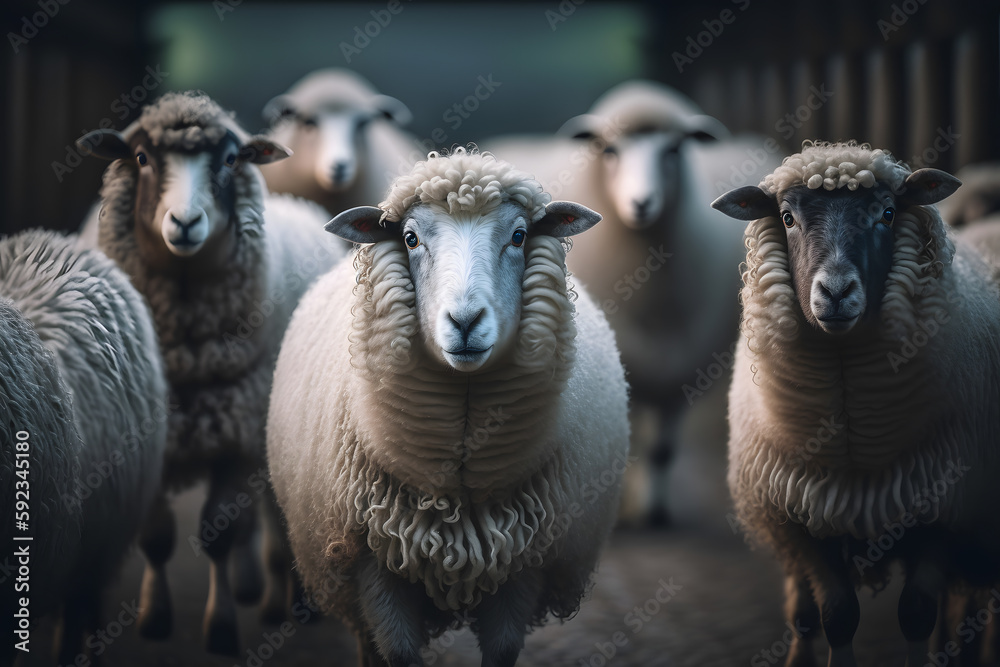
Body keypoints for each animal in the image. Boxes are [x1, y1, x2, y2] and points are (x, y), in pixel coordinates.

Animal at [75, 91, 348, 655]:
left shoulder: (237, 434)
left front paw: (220, 628)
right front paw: (154, 617)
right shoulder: (150, 437)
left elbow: (218, 536)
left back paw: (287, 600)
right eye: (141, 158)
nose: (184, 222)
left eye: (228, 160)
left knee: (277, 518)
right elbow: (158, 537)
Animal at [267, 147, 630, 667]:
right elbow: (397, 654)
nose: (465, 321)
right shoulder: (371, 564)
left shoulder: (526, 563)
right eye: (410, 238)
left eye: (519, 235)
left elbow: (501, 650)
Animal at [486, 80, 779, 526]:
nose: (641, 203)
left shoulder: (681, 366)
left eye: (674, 150)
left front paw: (655, 512)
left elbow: (661, 449)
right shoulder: (630, 361)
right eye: (609, 151)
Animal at [713, 141, 1000, 667]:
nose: (835, 292)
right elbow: (837, 615)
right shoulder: (803, 519)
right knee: (804, 612)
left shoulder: (946, 510)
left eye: (887, 213)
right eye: (787, 217)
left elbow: (917, 613)